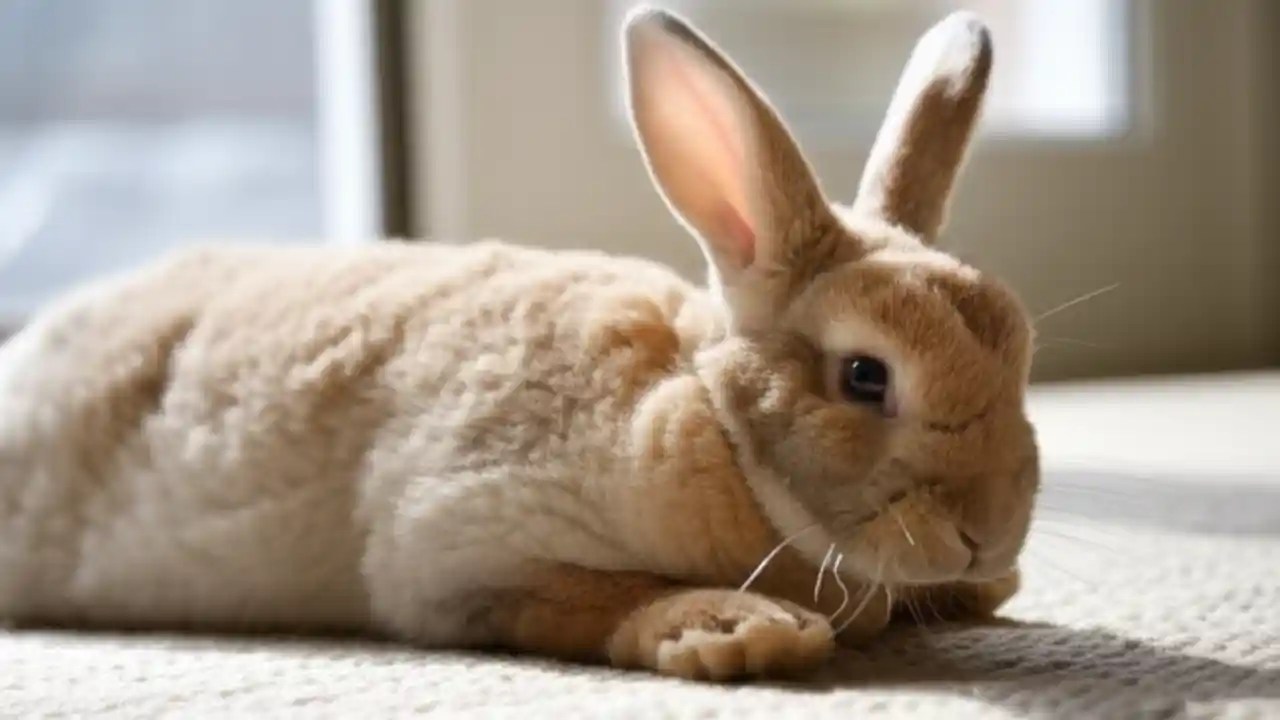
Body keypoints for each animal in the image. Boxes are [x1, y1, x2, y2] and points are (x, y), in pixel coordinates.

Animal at [0, 6, 1037, 681]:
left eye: (1022, 353)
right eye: (865, 376)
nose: (984, 537)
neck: (716, 419)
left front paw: (986, 591)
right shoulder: (459, 544)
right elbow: (589, 600)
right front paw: (736, 631)